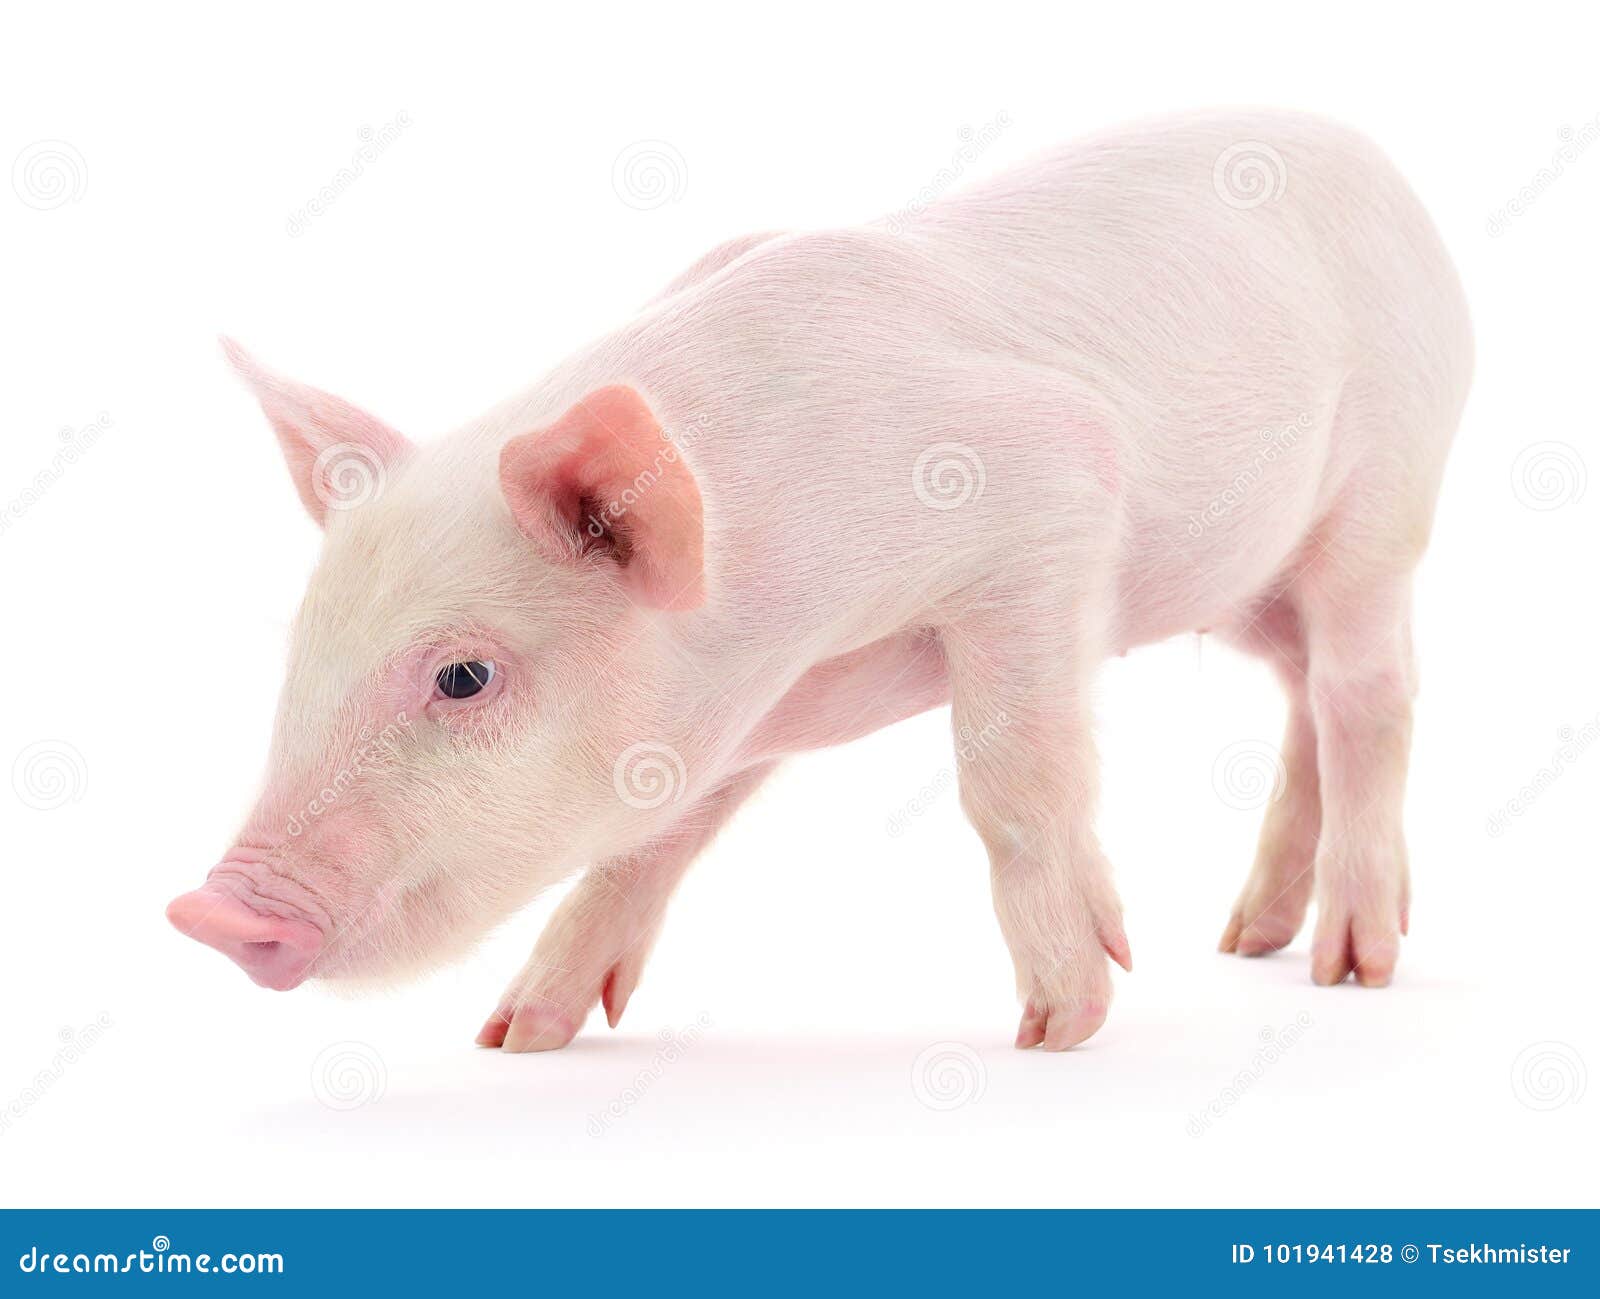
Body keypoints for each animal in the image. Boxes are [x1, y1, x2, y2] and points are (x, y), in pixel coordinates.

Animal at [167, 110, 1472, 1052]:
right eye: (302, 652)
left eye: (464, 676)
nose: (208, 911)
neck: (782, 623)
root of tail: (1377, 164)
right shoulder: (751, 704)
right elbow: (650, 837)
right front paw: (517, 1038)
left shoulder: (1047, 496)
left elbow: (1010, 781)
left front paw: (1061, 1026)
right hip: (1246, 583)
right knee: (1304, 694)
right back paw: (1248, 942)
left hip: (1383, 491)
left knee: (1370, 691)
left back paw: (1349, 968)